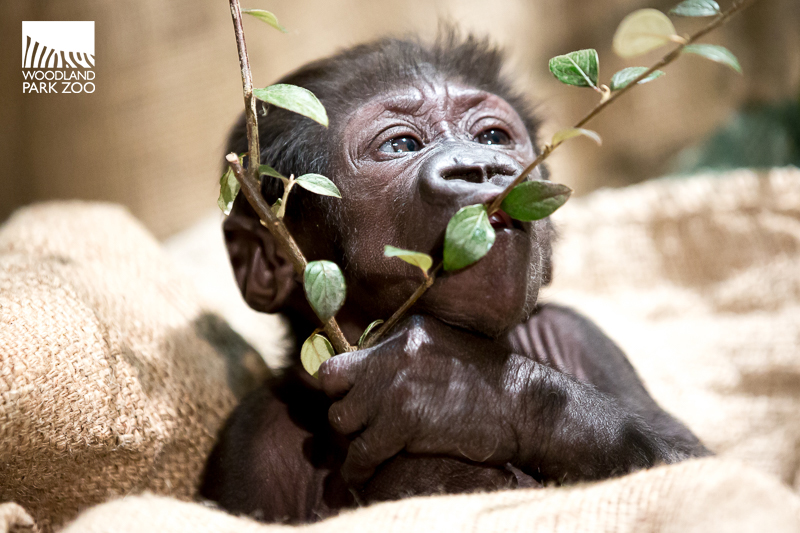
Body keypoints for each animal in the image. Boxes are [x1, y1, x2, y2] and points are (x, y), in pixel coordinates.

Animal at [200, 33, 709, 523]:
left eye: (492, 136)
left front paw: (457, 389)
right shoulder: (253, 438)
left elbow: (691, 465)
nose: (480, 168)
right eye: (401, 146)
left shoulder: (582, 337)